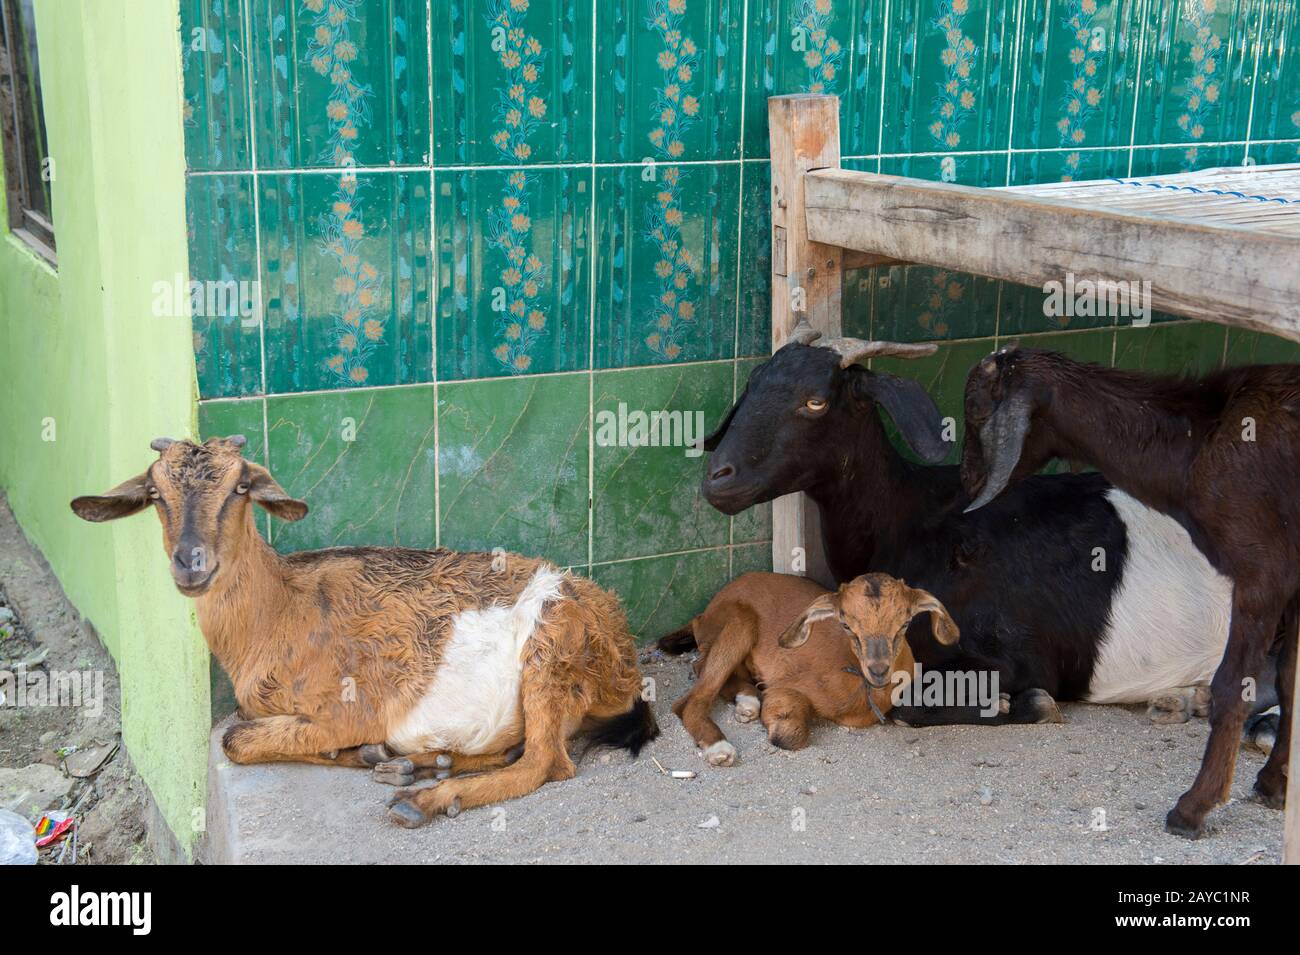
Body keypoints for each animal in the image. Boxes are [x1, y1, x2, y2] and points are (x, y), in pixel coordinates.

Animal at [71, 436, 657, 828]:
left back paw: (421, 798)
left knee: (545, 761)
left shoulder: (350, 708)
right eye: (154, 493)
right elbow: (246, 726)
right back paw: (423, 765)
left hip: (551, 647)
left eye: (241, 486)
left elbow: (236, 739)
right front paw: (376, 757)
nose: (191, 563)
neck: (280, 610)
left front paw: (364, 754)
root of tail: (625, 660)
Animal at [658, 572, 960, 763]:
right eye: (846, 624)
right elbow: (788, 735)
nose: (878, 669)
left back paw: (747, 702)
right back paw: (719, 747)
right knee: (690, 696)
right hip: (739, 621)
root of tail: (703, 614)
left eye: (905, 623)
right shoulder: (787, 686)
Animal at [700, 332, 1278, 733]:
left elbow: (913, 704)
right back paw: (1182, 699)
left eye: (815, 401)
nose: (717, 478)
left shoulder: (1015, 656)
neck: (915, 520)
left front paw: (1024, 703)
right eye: (751, 386)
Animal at [962, 346, 1300, 838]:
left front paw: (1193, 808)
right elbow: (1292, 680)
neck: (1200, 438)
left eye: (975, 408)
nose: (965, 480)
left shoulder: (1261, 573)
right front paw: (1273, 784)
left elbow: (1234, 684)